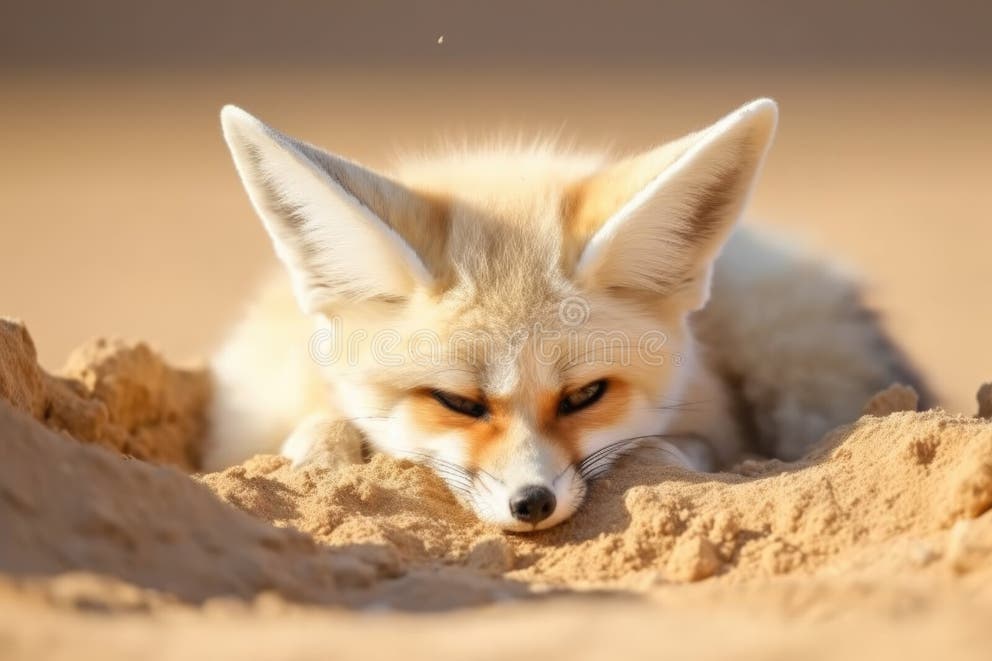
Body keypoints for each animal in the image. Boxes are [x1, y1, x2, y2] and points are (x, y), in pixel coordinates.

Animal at [204, 99, 929, 531]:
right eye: (457, 402)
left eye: (585, 395)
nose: (532, 503)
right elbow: (319, 433)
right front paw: (323, 447)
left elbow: (675, 448)